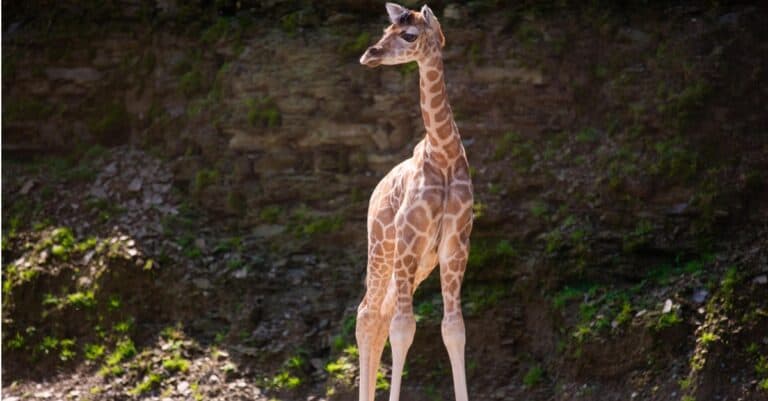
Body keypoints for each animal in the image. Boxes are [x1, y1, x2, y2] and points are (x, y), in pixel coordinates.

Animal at [355, 3, 473, 401]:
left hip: (419, 263)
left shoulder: (454, 247)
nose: (370, 54)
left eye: (408, 35)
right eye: (385, 29)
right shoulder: (408, 239)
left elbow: (454, 329)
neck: (445, 155)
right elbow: (404, 328)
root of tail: (375, 192)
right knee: (368, 313)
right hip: (382, 248)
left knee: (380, 316)